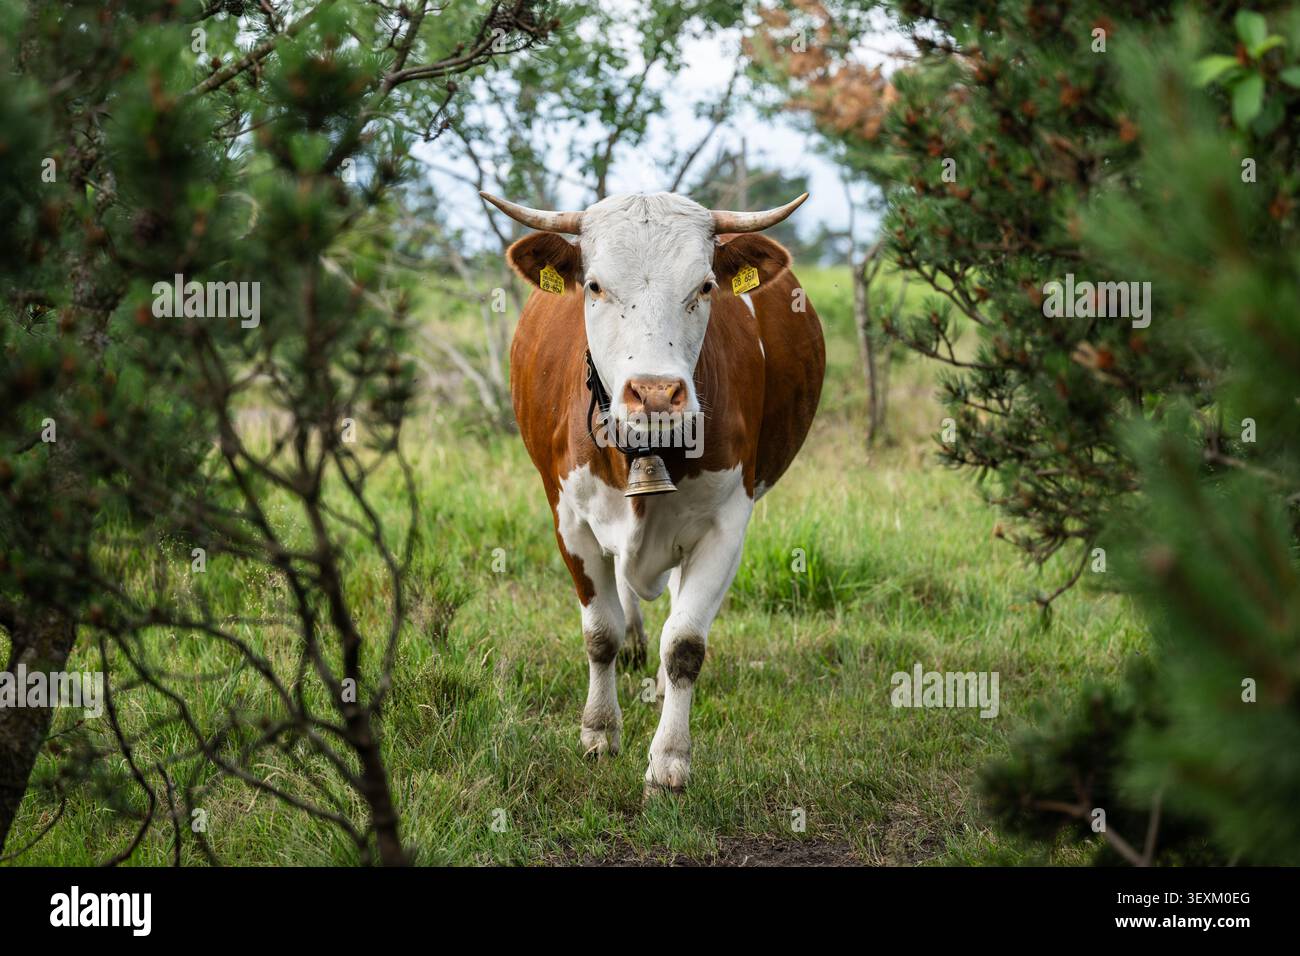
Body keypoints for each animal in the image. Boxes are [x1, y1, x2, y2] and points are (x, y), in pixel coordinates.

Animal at [482, 190, 825, 794]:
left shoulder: (726, 525)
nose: (657, 394)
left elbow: (686, 644)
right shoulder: (569, 520)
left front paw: (669, 760)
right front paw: (599, 732)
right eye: (595, 285)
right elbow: (601, 633)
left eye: (705, 286)